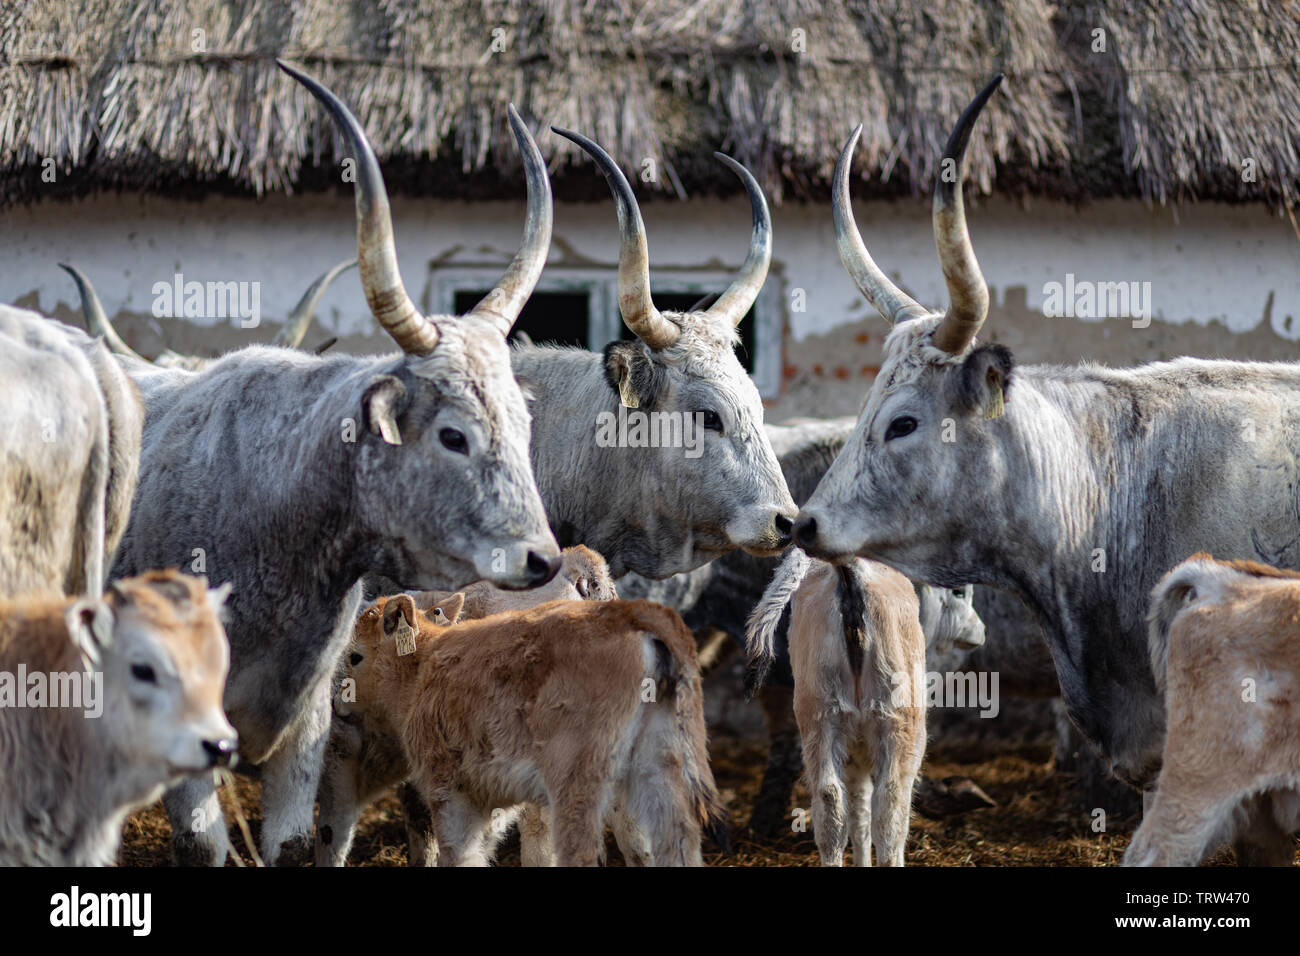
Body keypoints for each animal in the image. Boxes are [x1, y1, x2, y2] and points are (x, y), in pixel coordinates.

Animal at [109, 62, 560, 866]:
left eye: (520, 421)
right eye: (452, 436)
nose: (541, 558)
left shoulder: (308, 727)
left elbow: (293, 843)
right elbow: (201, 845)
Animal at [339, 594, 723, 866]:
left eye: (354, 656)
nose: (339, 703)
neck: (423, 670)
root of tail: (627, 613)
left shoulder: (450, 792)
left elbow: (460, 856)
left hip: (576, 783)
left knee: (582, 852)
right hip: (658, 768)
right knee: (676, 843)